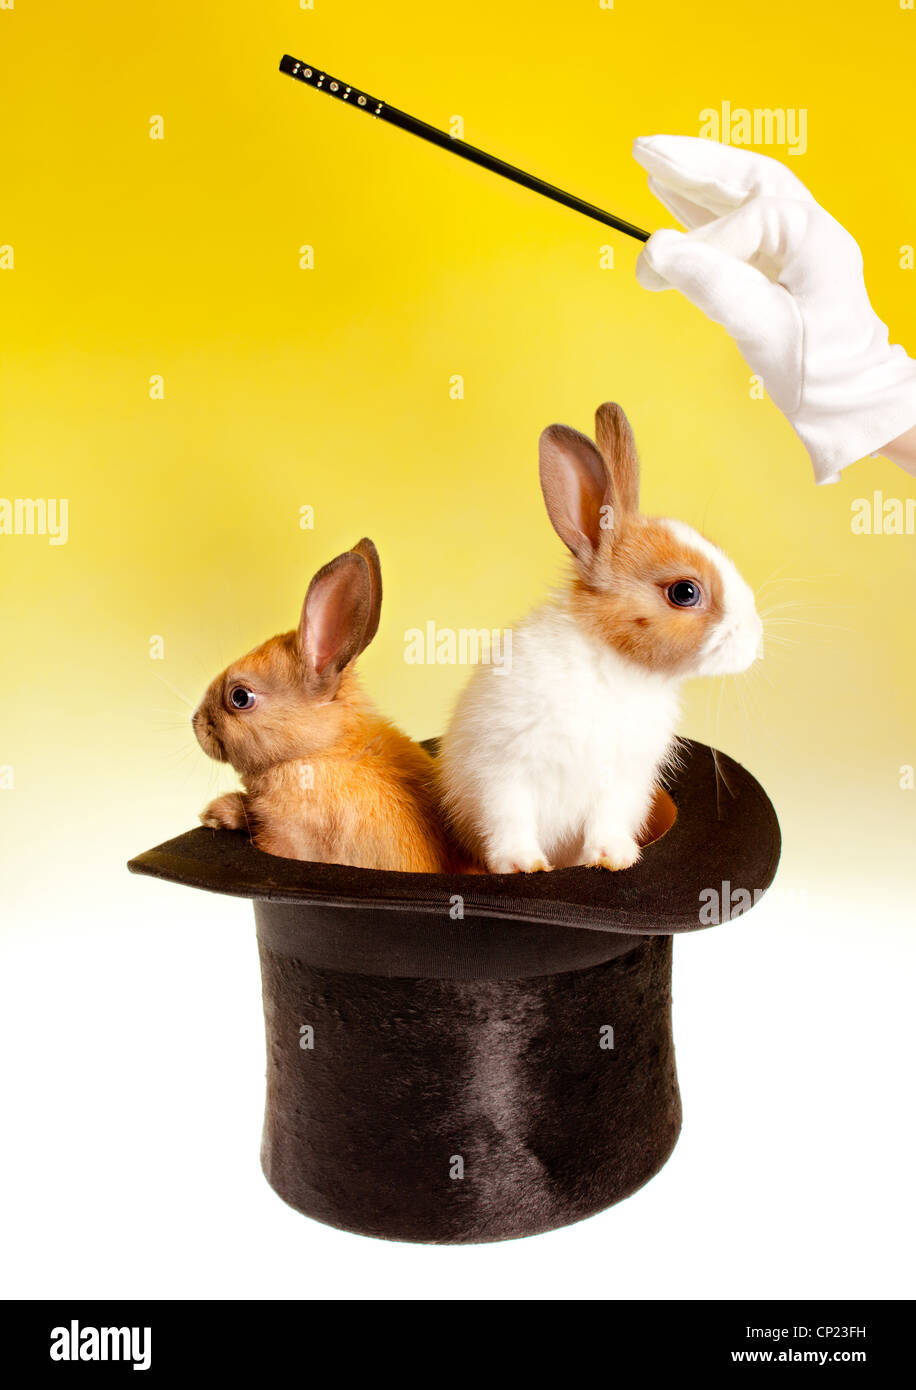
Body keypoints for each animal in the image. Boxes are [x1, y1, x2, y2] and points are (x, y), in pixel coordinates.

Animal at [437, 402, 763, 874]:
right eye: (685, 592)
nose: (756, 640)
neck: (613, 664)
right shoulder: (502, 770)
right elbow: (510, 819)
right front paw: (523, 864)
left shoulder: (621, 784)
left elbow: (606, 823)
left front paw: (613, 859)